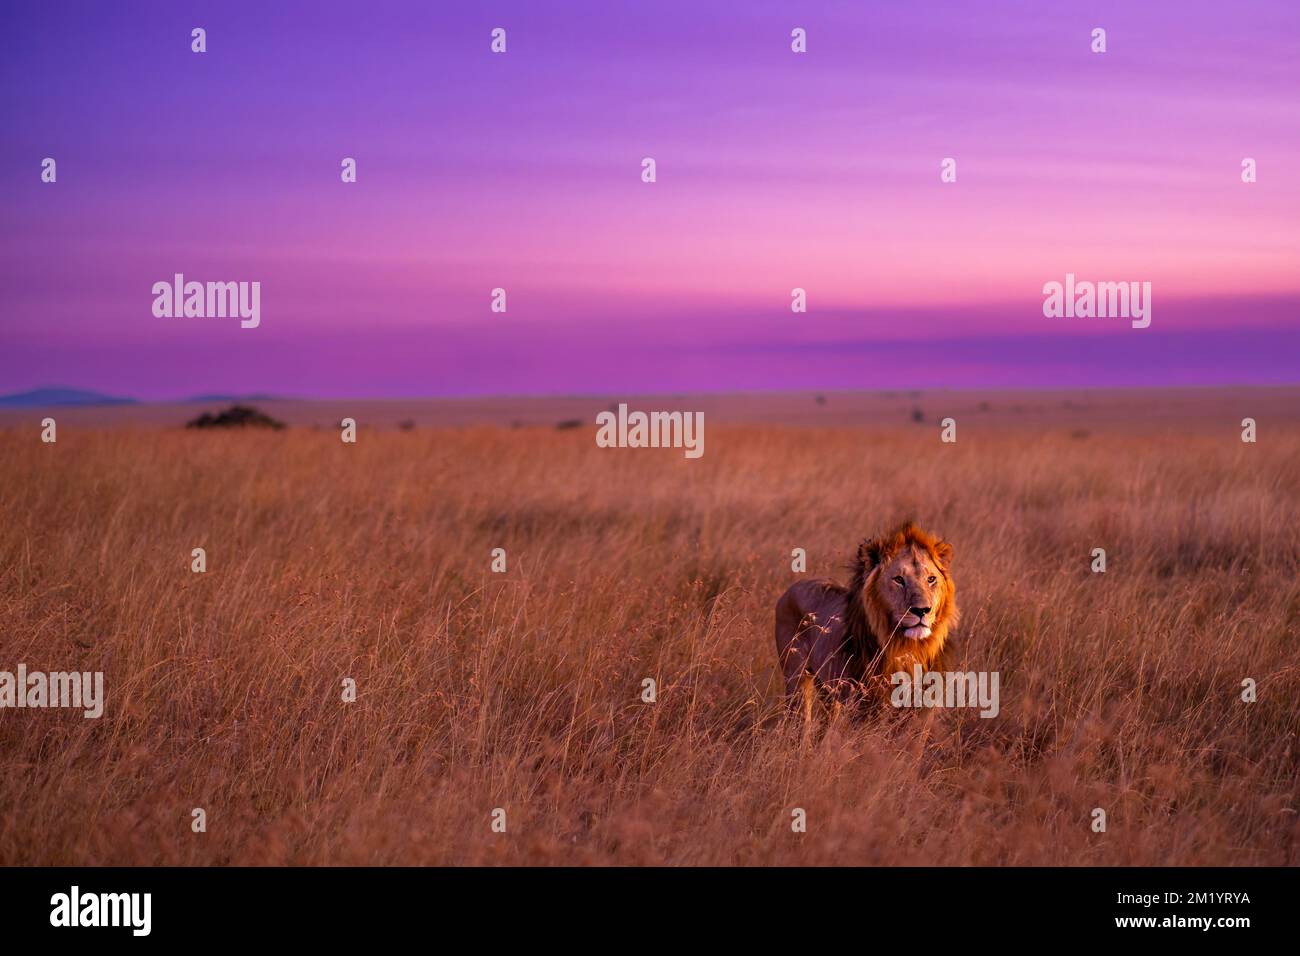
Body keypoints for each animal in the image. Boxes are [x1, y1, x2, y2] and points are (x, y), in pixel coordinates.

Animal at [774, 521, 959, 721]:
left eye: (931, 579)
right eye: (899, 579)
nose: (922, 610)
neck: (907, 649)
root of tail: (792, 587)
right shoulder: (864, 708)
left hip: (827, 689)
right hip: (796, 680)